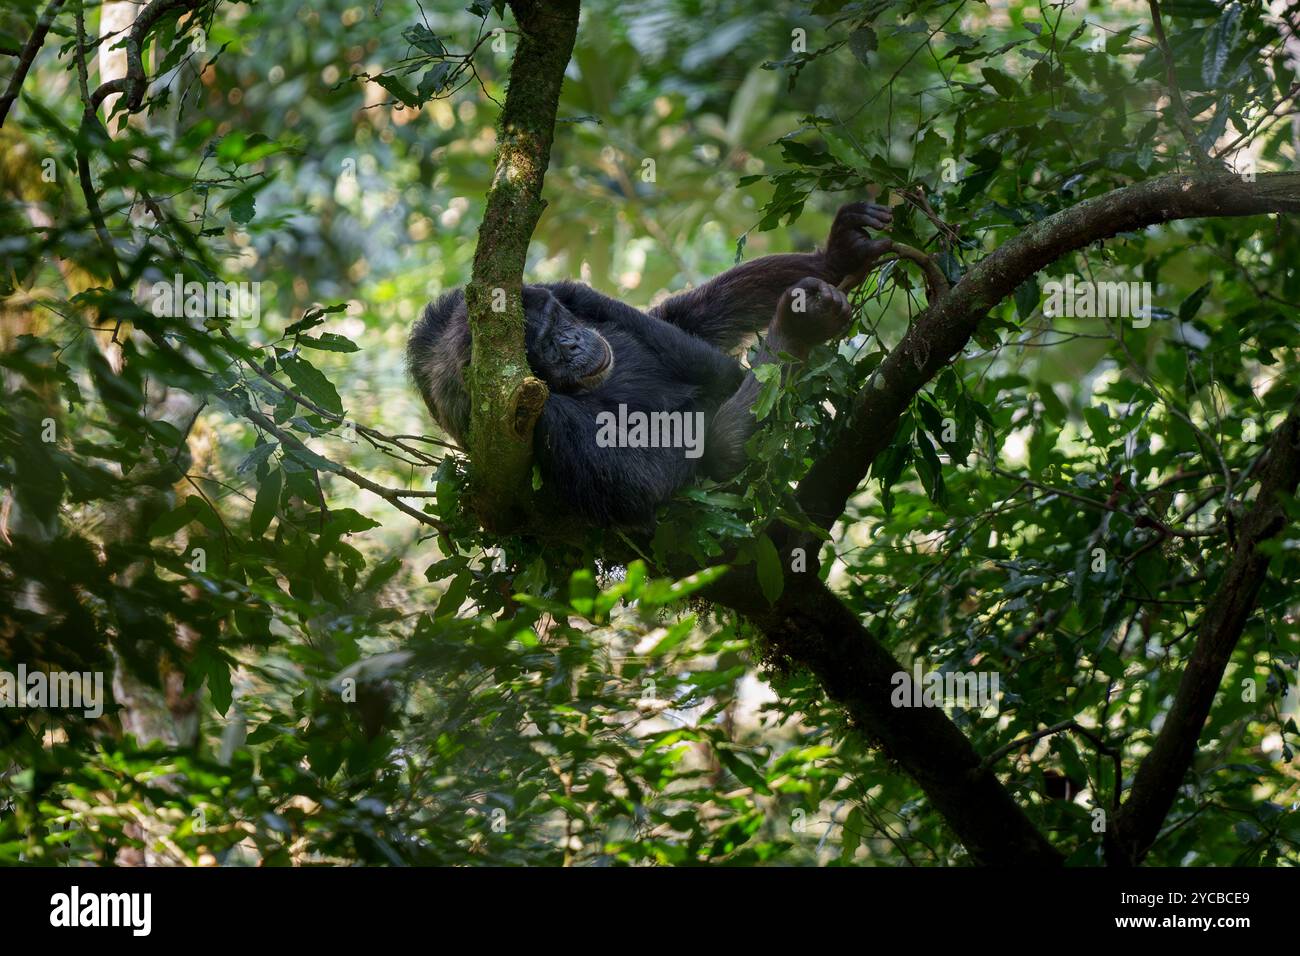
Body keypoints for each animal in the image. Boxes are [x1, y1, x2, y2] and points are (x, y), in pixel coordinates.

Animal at [408, 200, 893, 527]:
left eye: (554, 319)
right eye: (541, 347)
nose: (569, 343)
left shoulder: (570, 290)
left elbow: (682, 331)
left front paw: (838, 255)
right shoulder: (527, 417)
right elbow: (646, 478)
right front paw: (799, 327)